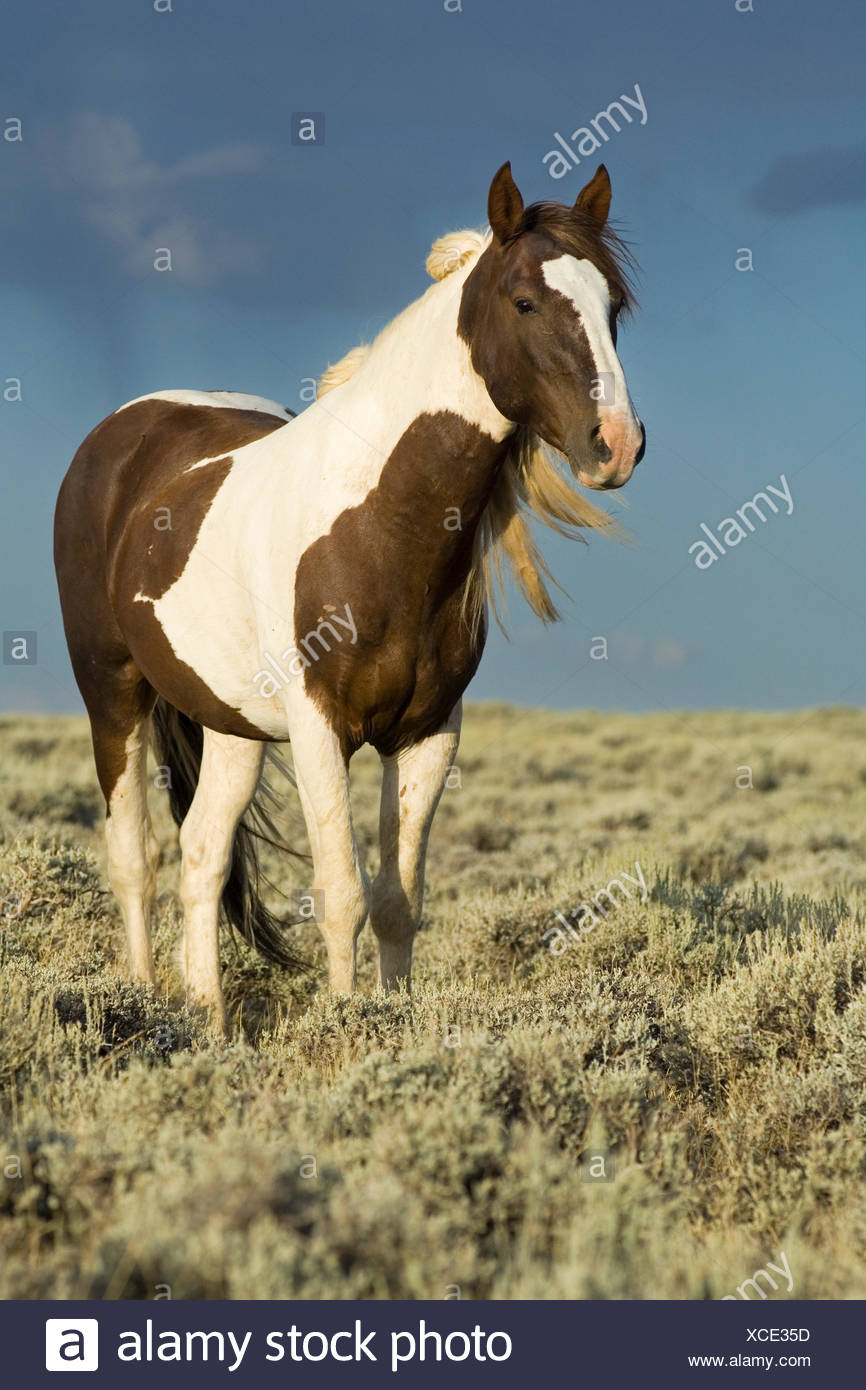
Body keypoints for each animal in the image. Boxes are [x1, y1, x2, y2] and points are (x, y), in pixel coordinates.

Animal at [54, 161, 645, 1031]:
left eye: (614, 306)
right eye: (525, 301)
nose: (617, 445)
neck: (376, 523)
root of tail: (120, 434)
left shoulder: (428, 733)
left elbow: (398, 901)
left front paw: (392, 1027)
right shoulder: (318, 727)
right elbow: (340, 896)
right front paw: (344, 1028)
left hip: (230, 726)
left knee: (202, 856)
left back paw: (211, 1024)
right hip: (112, 692)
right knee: (136, 856)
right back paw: (143, 1000)